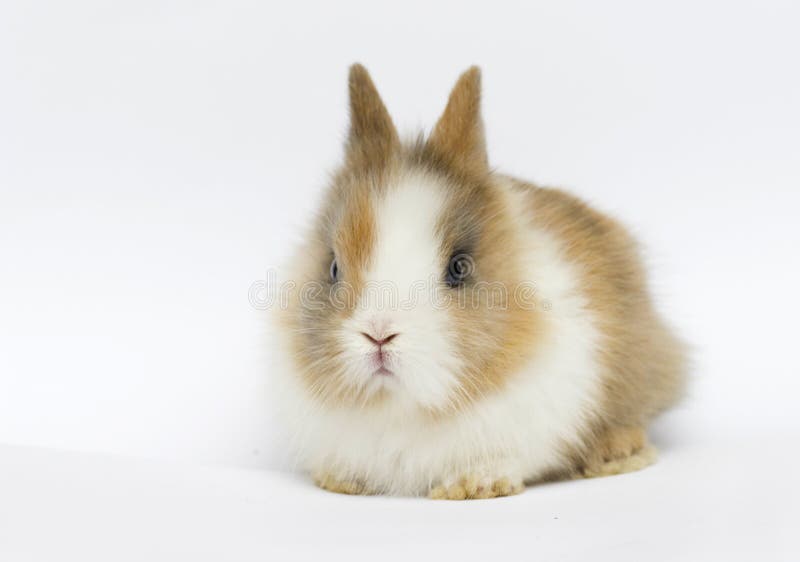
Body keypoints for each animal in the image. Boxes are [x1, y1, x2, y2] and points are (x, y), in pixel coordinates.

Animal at [273, 64, 686, 499]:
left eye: (458, 267)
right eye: (334, 267)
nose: (380, 334)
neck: (402, 407)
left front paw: (475, 484)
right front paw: (340, 480)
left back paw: (617, 453)